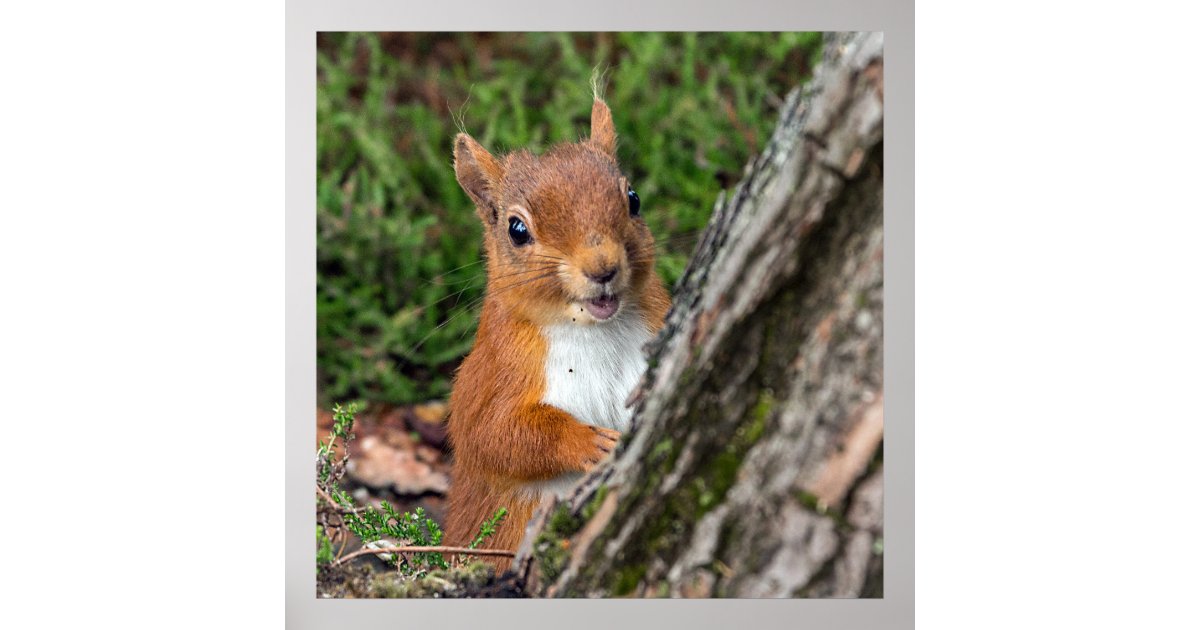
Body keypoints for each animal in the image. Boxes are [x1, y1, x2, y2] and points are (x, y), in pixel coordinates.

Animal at [443, 97, 670, 569]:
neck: (593, 330)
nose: (602, 267)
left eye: (633, 199)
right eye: (516, 229)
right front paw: (589, 443)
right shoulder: (492, 374)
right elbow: (492, 435)